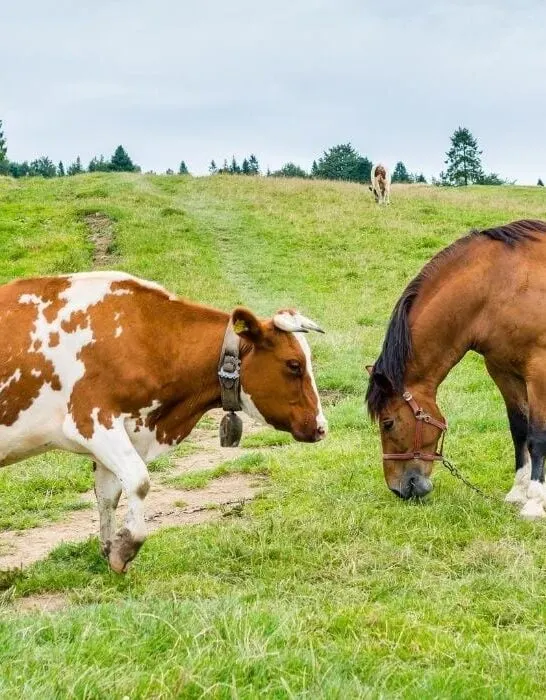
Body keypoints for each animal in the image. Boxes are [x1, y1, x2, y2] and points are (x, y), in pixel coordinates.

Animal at [366, 219, 546, 519]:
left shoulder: (539, 372)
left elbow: (538, 436)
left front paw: (534, 503)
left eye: (388, 423)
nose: (398, 489)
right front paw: (518, 493)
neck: (500, 285)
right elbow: (519, 430)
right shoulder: (503, 371)